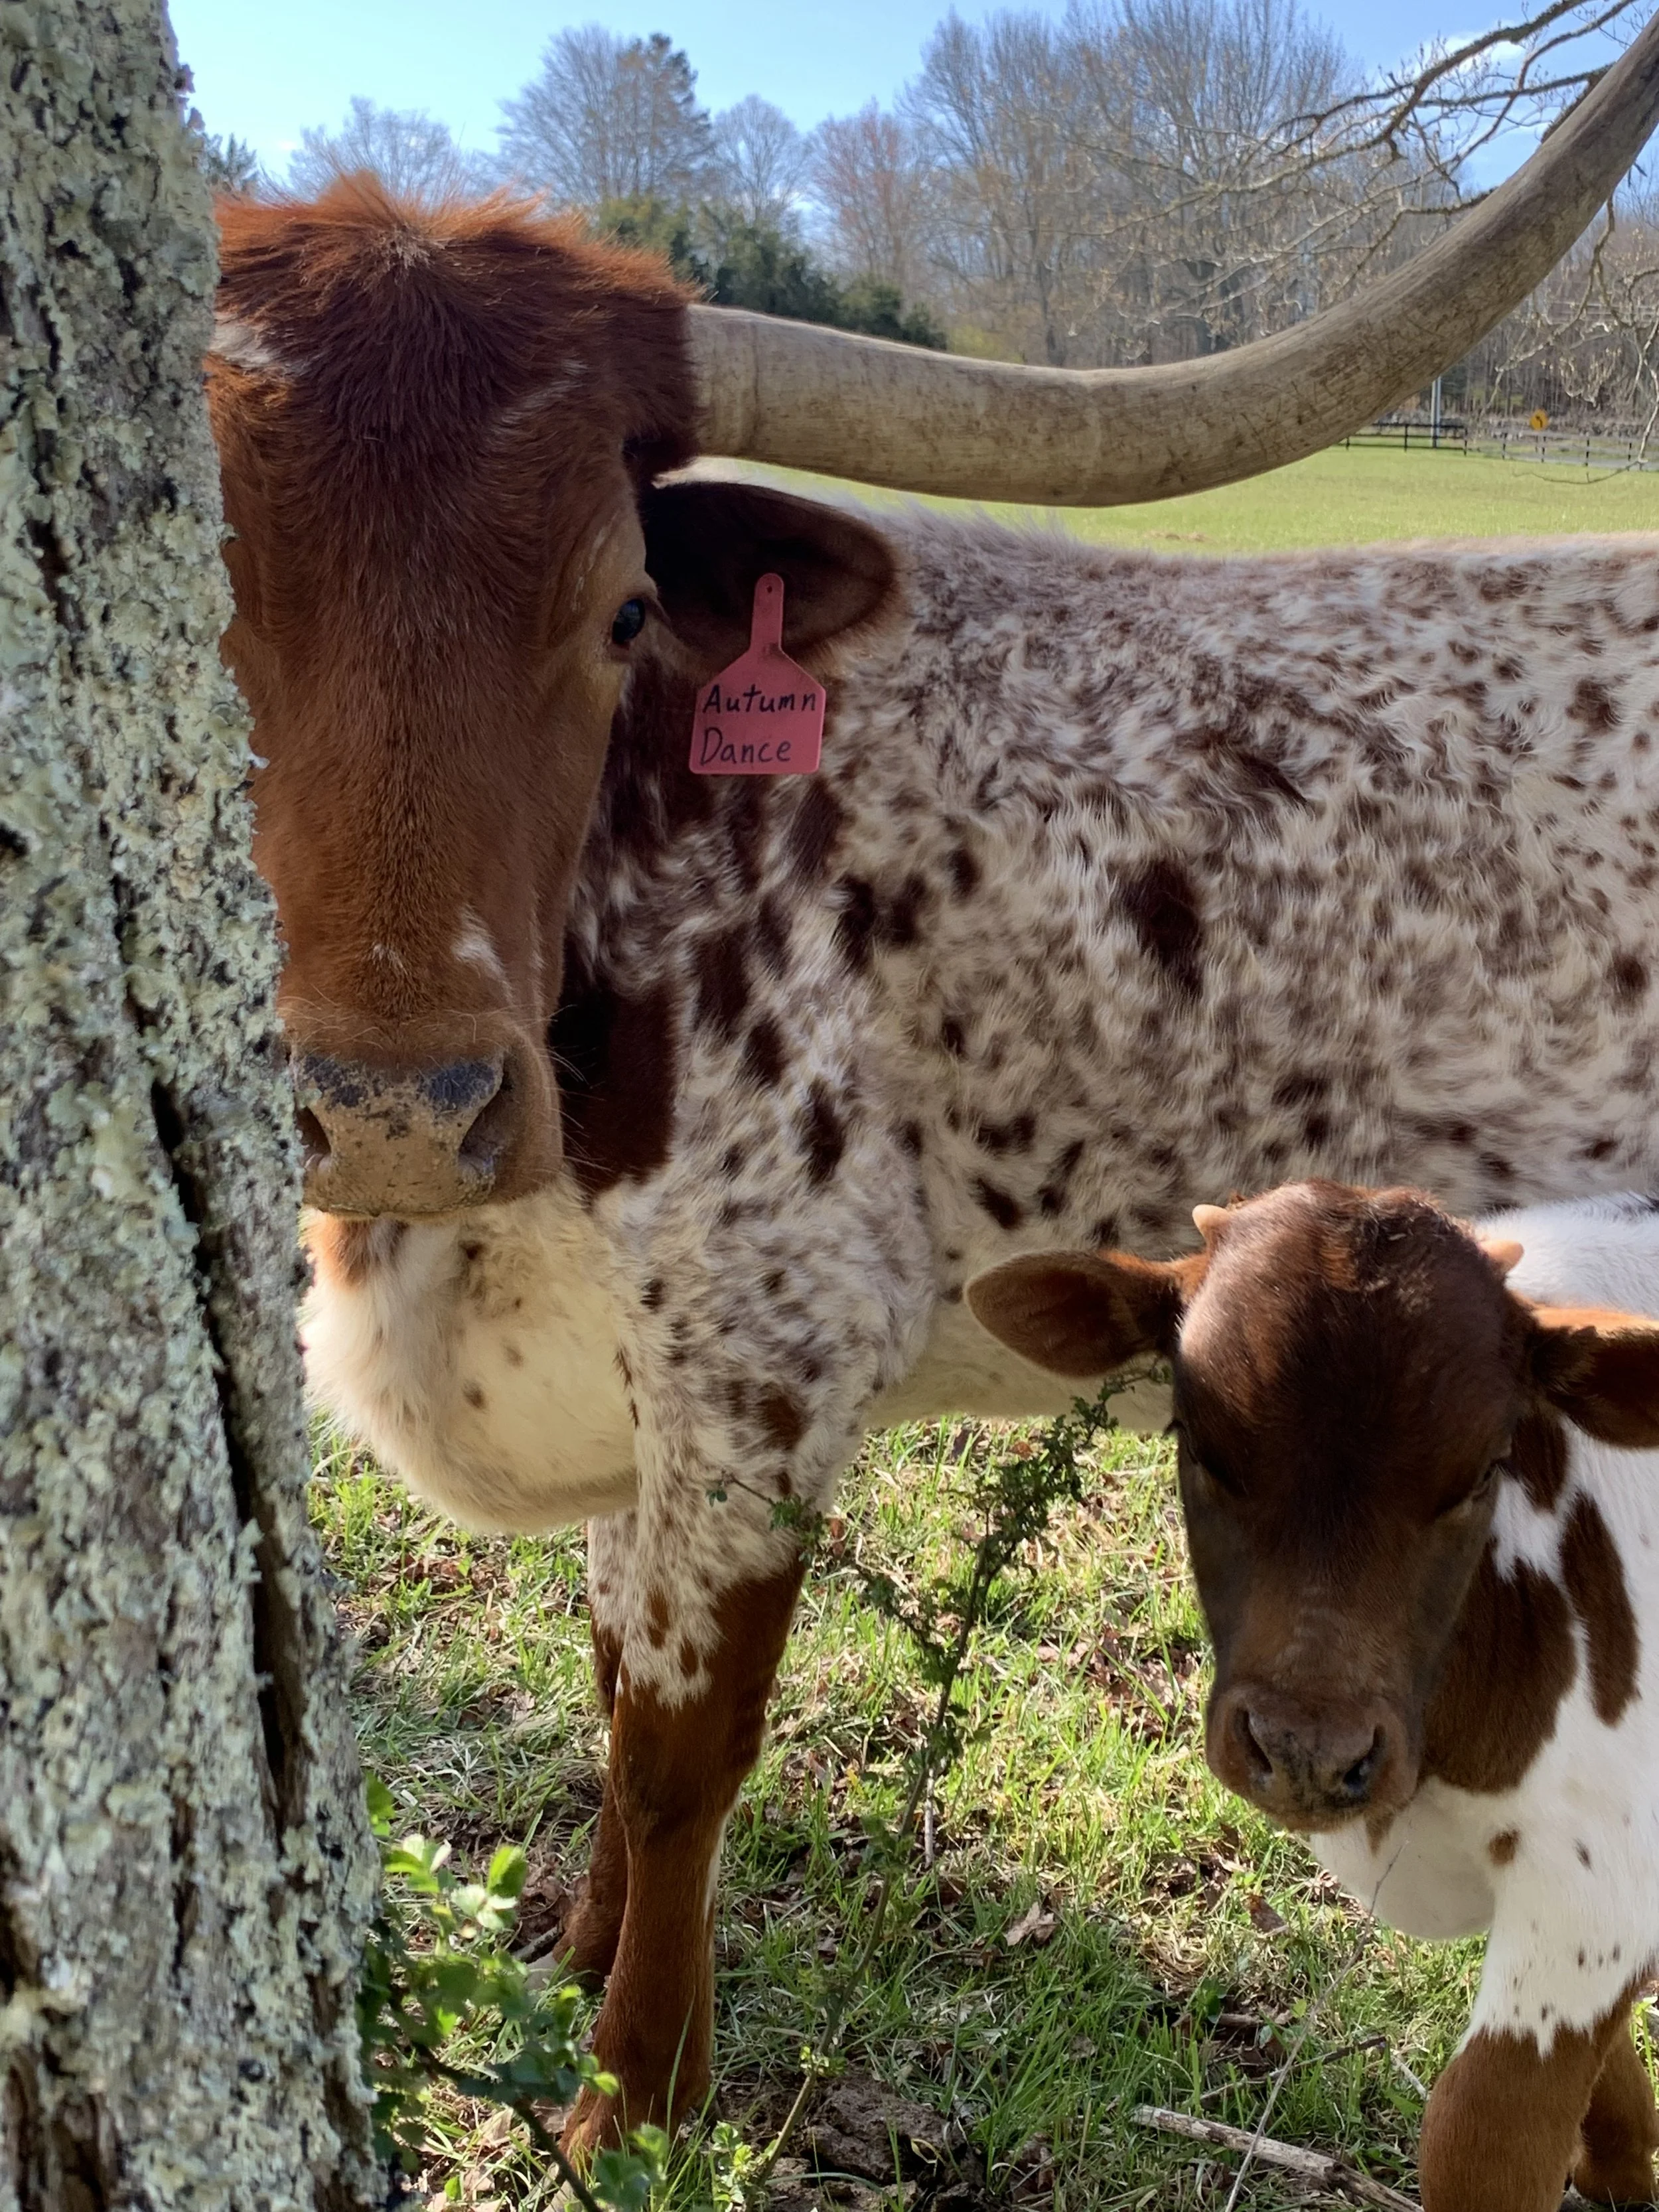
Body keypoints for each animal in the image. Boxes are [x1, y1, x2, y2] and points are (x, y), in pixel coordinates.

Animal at [967, 1185, 1659, 2212]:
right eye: (1198, 1444)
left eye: (1482, 1470)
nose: (1307, 1750)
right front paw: (1624, 2160)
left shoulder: (1594, 1875)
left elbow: (1482, 2129)